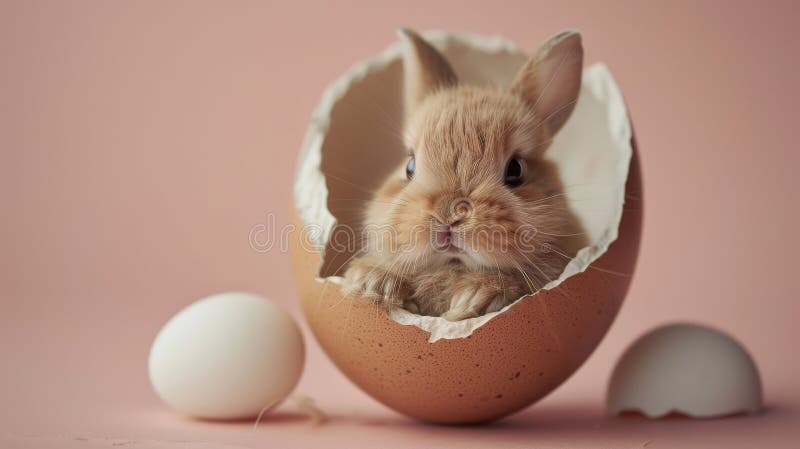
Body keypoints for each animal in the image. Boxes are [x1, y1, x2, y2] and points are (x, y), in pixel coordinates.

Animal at [342, 29, 588, 321]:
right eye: (410, 166)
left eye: (516, 170)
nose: (449, 213)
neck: (454, 265)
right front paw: (375, 282)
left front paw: (473, 297)